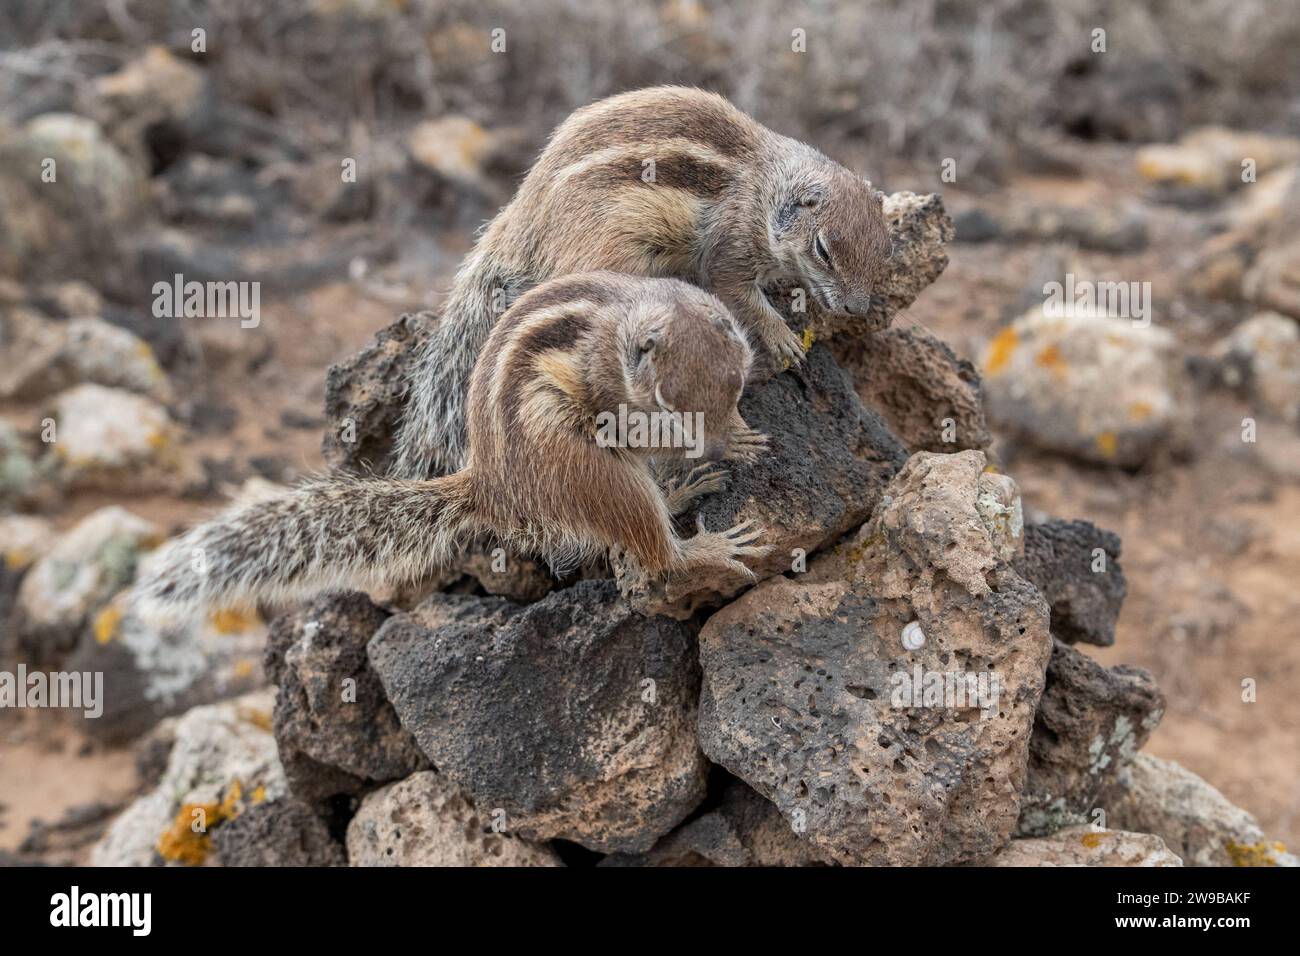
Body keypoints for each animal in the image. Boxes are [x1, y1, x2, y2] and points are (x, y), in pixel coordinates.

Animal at [134, 273, 772, 614]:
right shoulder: (612, 395)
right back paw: (705, 544)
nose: (718, 437)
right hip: (589, 475)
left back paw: (684, 493)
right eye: (666, 401)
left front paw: (733, 436)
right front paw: (728, 445)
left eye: (736, 379)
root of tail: (491, 485)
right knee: (652, 544)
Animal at [394, 85, 893, 478]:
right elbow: (739, 293)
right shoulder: (730, 247)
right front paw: (783, 338)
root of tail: (523, 216)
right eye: (823, 249)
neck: (765, 187)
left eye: (885, 249)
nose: (855, 308)